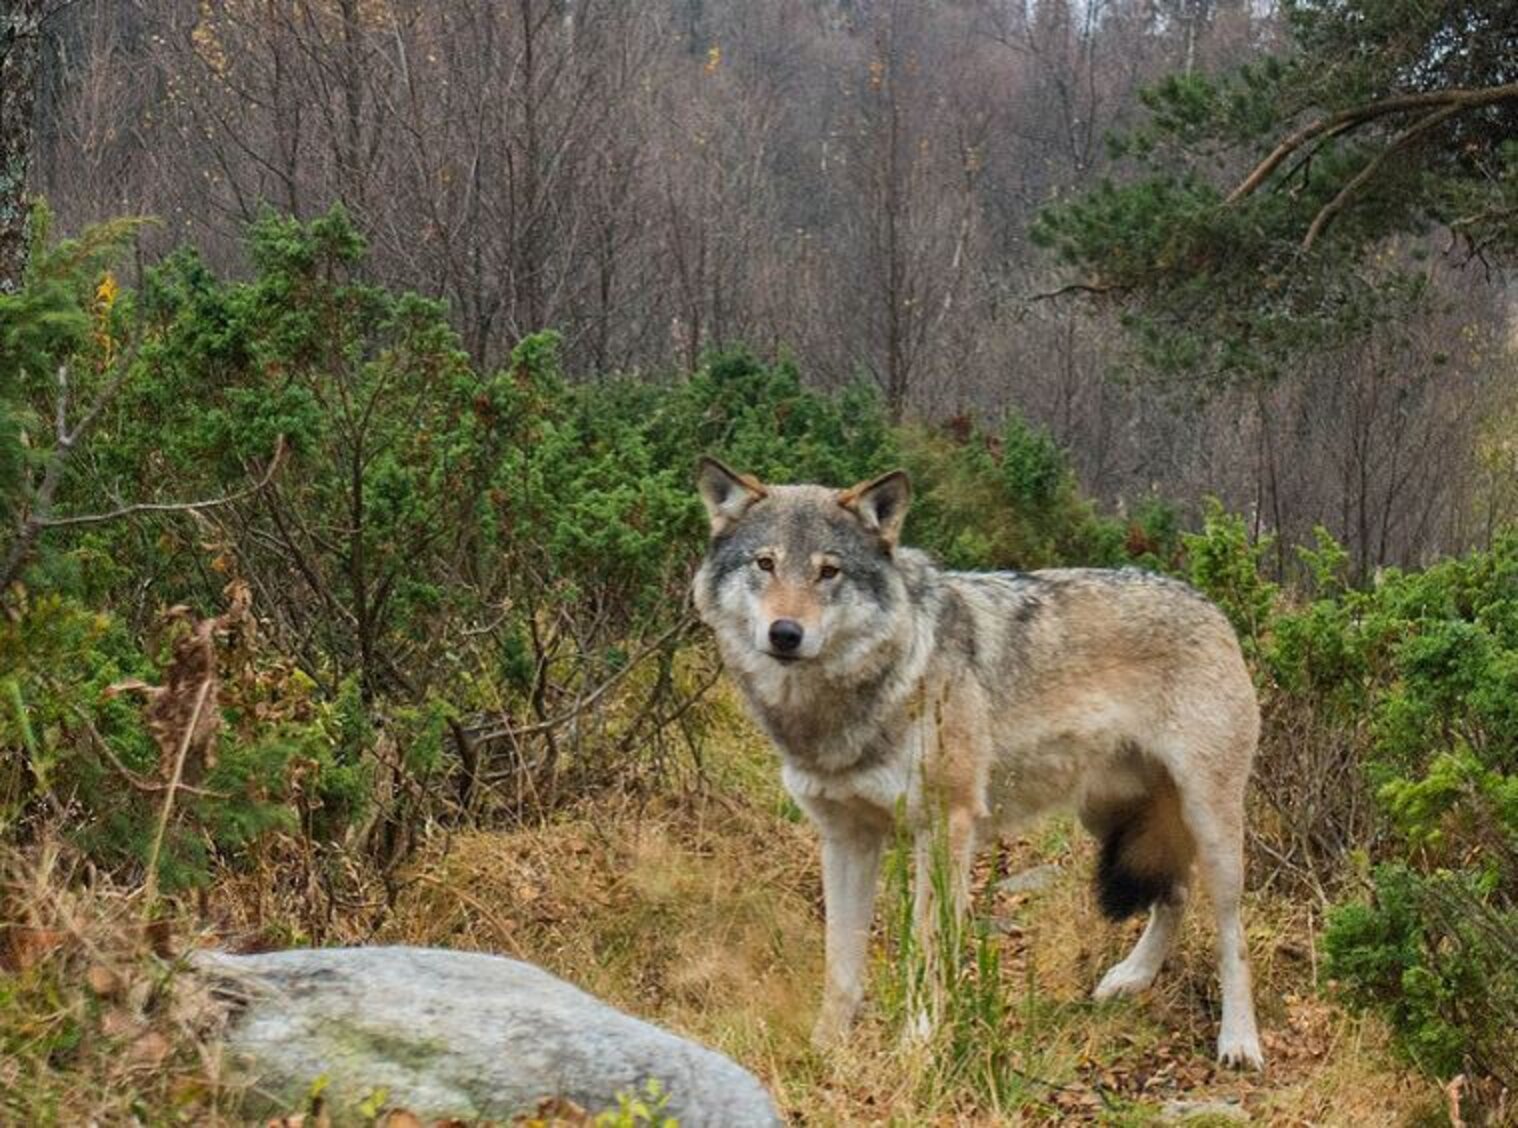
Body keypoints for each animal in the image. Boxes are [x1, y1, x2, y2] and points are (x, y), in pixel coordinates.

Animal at [691, 458, 1264, 1068]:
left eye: (829, 572)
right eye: (765, 564)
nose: (785, 634)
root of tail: (1208, 603)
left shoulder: (948, 826)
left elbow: (926, 949)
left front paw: (918, 1044)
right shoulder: (845, 838)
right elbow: (840, 964)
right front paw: (825, 1050)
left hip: (1210, 823)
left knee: (1232, 931)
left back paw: (1238, 1041)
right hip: (1111, 818)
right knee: (1173, 890)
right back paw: (1132, 978)